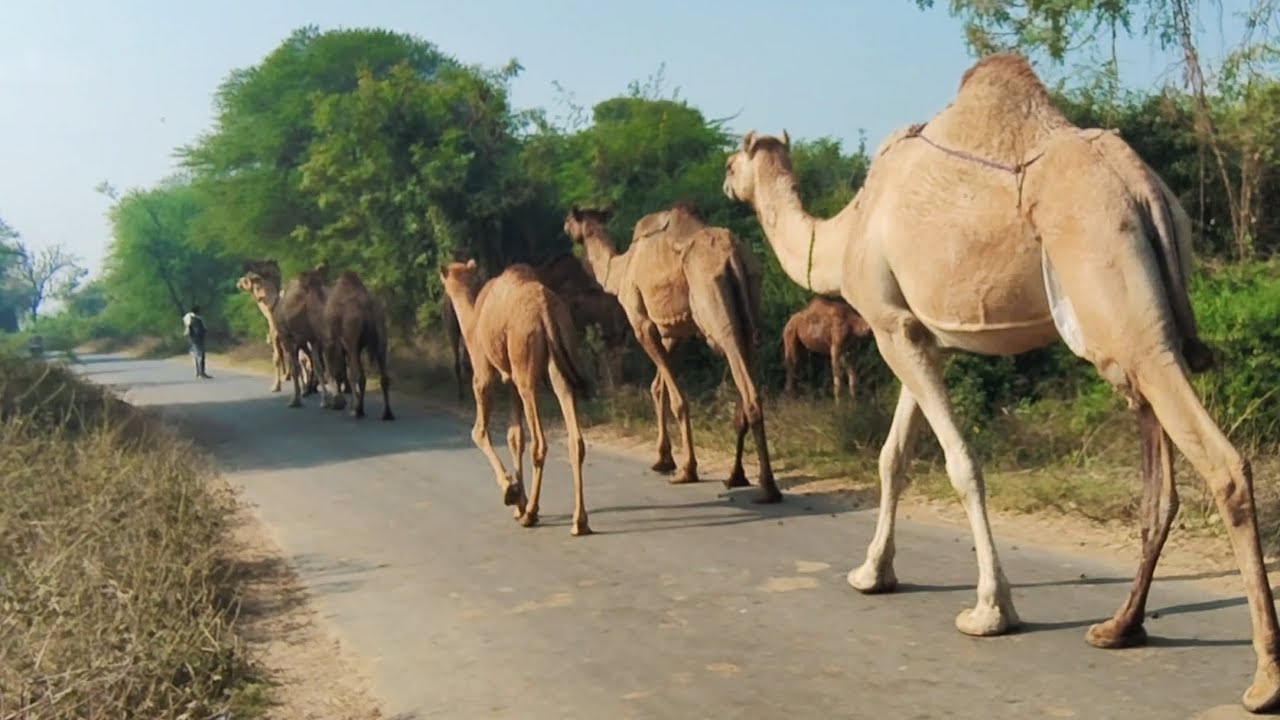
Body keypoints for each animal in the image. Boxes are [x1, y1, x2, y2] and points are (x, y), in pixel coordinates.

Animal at [323, 269, 394, 421]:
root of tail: (367, 310)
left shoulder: (337, 342)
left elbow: (342, 370)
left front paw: (342, 403)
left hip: (352, 337)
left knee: (356, 374)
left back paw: (357, 410)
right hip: (381, 333)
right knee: (382, 375)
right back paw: (387, 413)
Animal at [438, 259, 591, 536]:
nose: (444, 309)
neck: (474, 319)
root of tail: (545, 311)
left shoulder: (484, 371)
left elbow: (479, 432)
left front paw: (512, 493)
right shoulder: (510, 380)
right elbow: (514, 437)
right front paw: (518, 501)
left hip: (525, 368)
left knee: (539, 442)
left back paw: (531, 514)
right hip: (559, 360)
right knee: (575, 436)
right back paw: (579, 521)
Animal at [563, 203, 782, 504]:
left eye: (572, 220)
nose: (564, 225)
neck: (622, 269)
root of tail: (733, 257)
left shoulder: (641, 322)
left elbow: (677, 398)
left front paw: (686, 469)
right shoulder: (671, 332)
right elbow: (658, 388)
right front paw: (663, 459)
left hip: (713, 309)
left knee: (744, 381)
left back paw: (766, 487)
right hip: (751, 303)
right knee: (749, 369)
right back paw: (736, 476)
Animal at [723, 52, 1280, 713]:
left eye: (731, 160)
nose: (725, 182)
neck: (846, 233)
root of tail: (1142, 186)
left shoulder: (889, 326)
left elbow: (959, 462)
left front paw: (990, 610)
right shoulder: (915, 332)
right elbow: (892, 458)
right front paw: (871, 575)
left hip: (1116, 294)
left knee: (1223, 463)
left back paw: (1264, 678)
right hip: (1142, 314)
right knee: (1161, 473)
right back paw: (1119, 627)